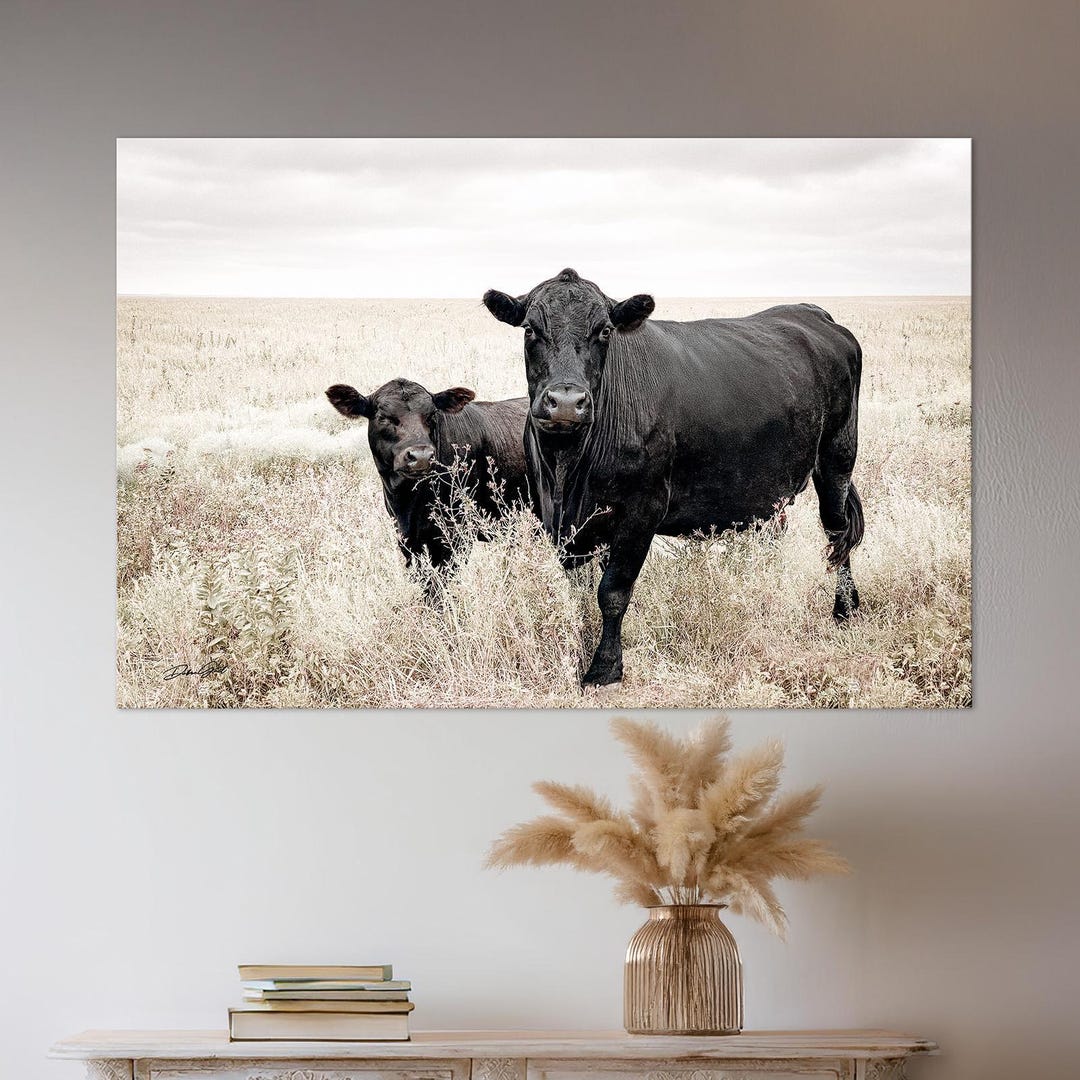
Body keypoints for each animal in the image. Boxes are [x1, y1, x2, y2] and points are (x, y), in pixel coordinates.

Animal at [326, 378, 529, 577]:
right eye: (383, 417)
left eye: (432, 416)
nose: (421, 456)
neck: (408, 503)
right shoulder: (408, 539)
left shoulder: (456, 535)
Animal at [482, 268, 864, 687]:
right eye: (530, 329)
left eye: (604, 331)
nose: (566, 402)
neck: (567, 470)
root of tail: (813, 313)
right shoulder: (560, 519)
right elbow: (578, 591)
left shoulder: (642, 509)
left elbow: (613, 591)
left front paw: (605, 667)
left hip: (837, 458)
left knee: (837, 534)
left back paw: (846, 609)